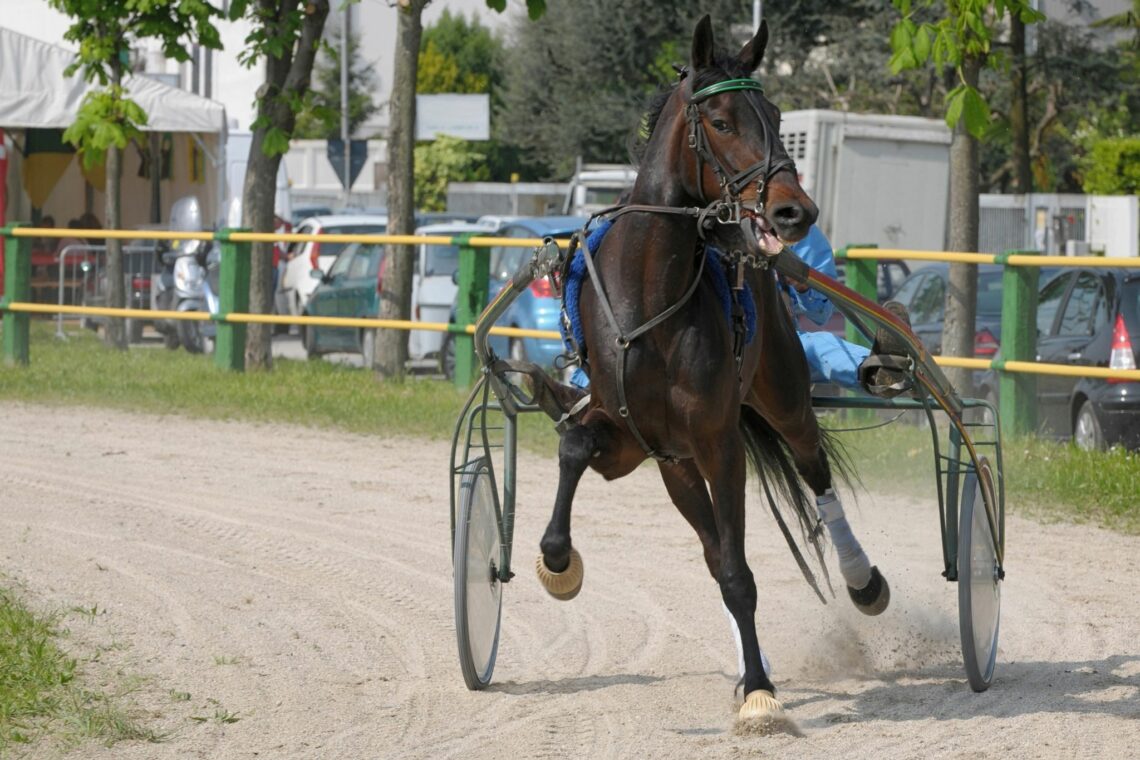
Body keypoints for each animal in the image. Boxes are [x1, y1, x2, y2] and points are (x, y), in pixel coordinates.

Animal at [531, 16, 891, 734]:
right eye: (722, 121)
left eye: (776, 116)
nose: (794, 212)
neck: (649, 290)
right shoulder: (645, 438)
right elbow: (576, 444)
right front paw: (558, 561)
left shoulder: (718, 441)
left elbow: (739, 573)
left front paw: (760, 691)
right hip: (677, 464)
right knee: (711, 546)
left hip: (783, 395)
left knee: (813, 471)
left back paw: (862, 579)